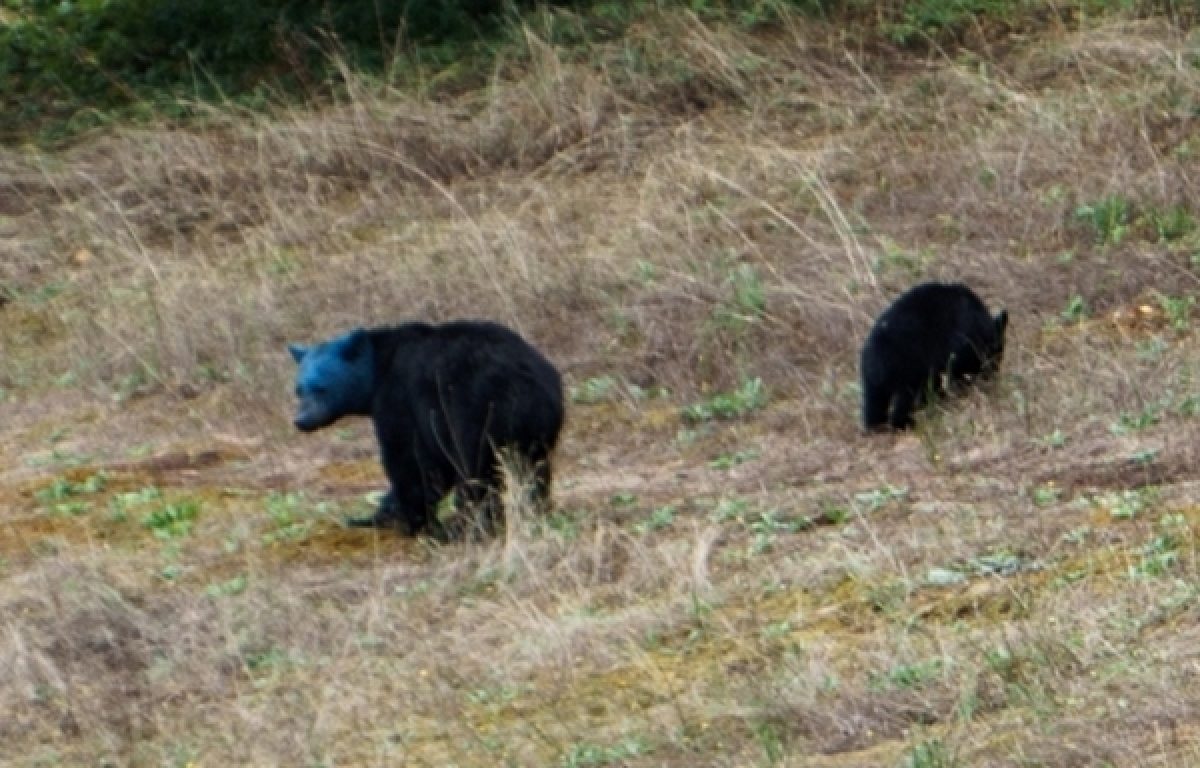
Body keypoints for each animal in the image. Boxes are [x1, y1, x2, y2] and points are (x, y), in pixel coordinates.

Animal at [289, 320, 564, 535]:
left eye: (321, 388)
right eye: (299, 389)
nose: (301, 421)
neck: (379, 369)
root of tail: (527, 384)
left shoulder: (402, 399)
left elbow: (410, 460)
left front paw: (413, 521)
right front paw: (372, 517)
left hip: (476, 414)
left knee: (476, 471)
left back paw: (468, 526)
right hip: (536, 428)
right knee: (532, 470)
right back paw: (533, 511)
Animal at [860, 281, 1008, 431]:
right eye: (996, 355)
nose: (992, 375)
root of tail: (875, 362)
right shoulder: (958, 342)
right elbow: (956, 367)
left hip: (873, 381)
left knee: (874, 402)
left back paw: (875, 425)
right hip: (908, 368)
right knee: (907, 397)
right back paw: (905, 422)